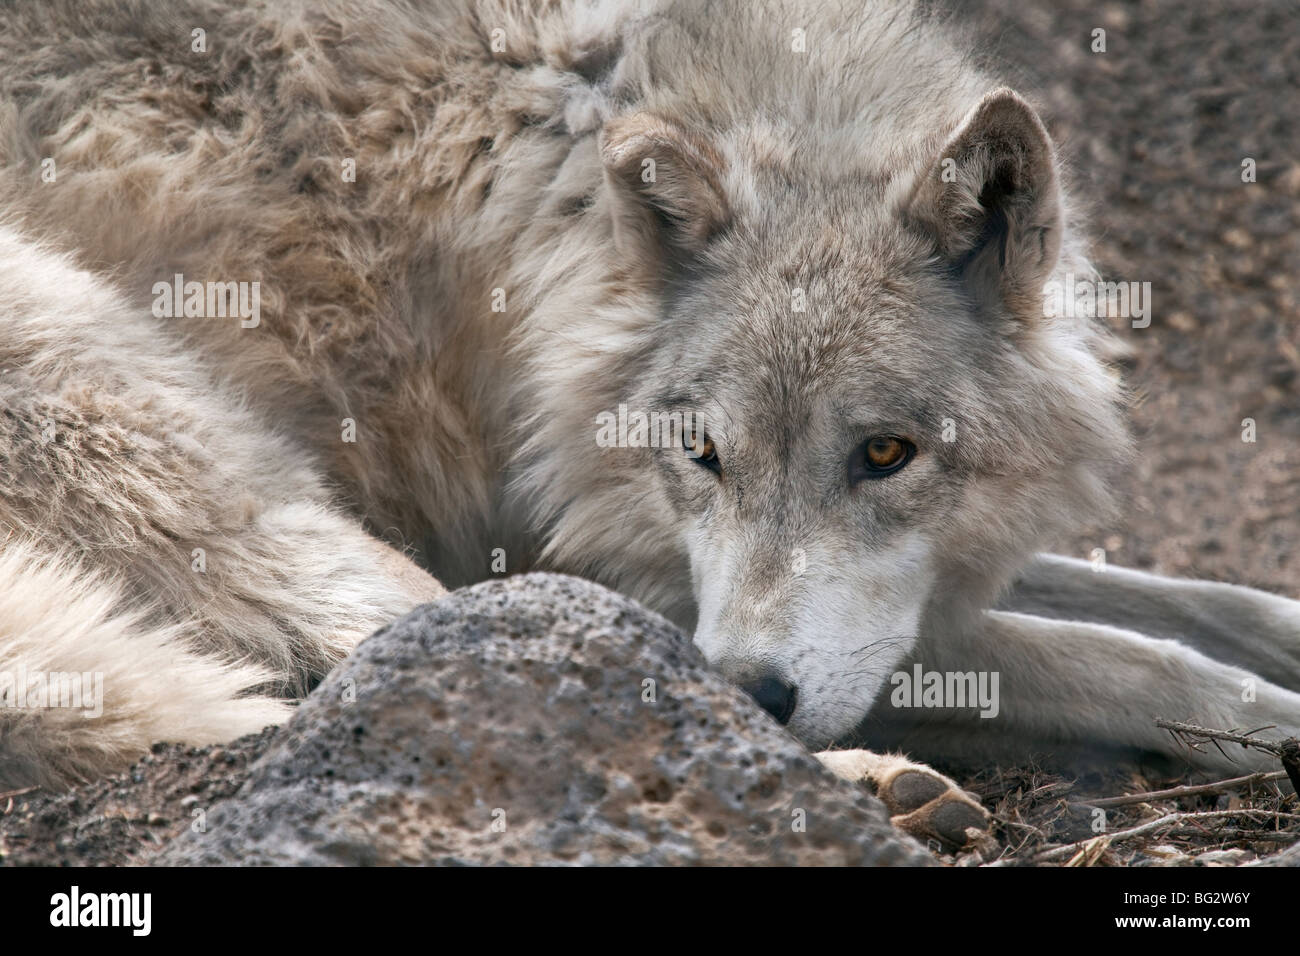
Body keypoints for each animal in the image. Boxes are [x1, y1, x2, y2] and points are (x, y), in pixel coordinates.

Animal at [1, 0, 1297, 849]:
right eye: (702, 454)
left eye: (886, 454)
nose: (752, 690)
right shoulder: (607, 563)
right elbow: (1115, 654)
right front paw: (1270, 718)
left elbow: (1202, 602)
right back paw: (868, 786)